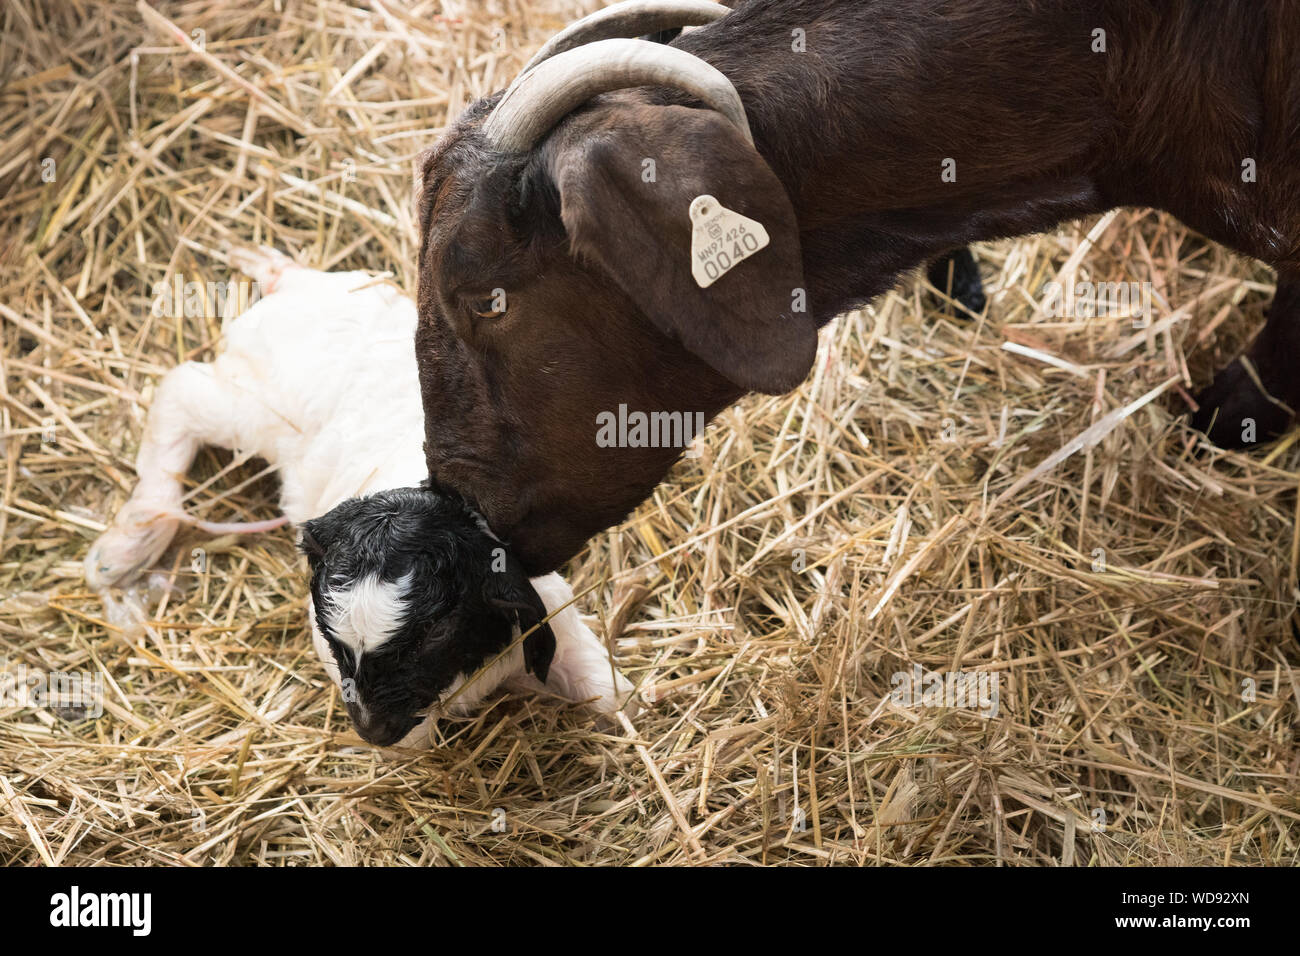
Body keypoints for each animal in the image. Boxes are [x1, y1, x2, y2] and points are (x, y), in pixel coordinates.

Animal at [84, 247, 634, 746]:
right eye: (335, 641)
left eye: (436, 634)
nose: (374, 732)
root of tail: (300, 290)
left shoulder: (548, 601)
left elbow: (604, 686)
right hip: (255, 409)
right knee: (182, 391)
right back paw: (126, 546)